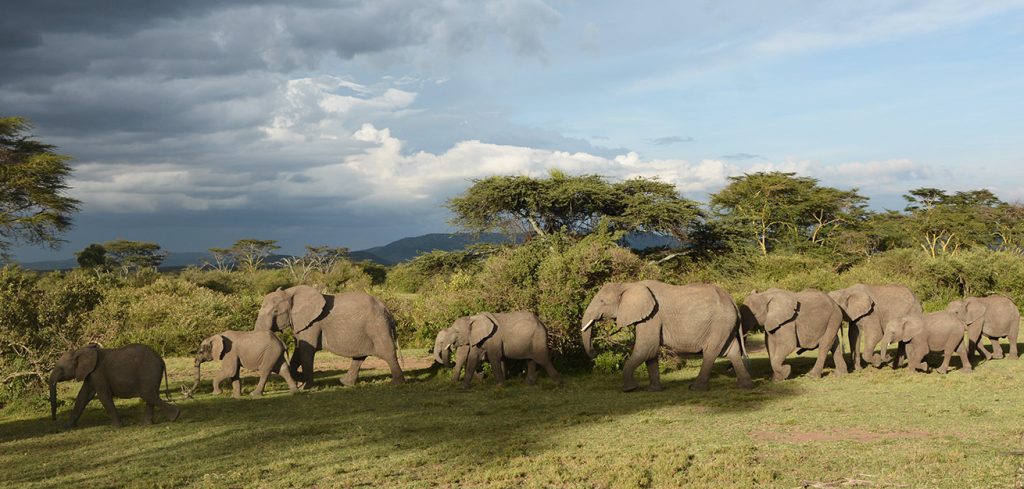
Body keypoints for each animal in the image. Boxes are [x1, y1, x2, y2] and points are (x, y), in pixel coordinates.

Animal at [49, 343, 179, 428]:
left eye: (61, 369)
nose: (54, 419)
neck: (80, 351)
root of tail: (161, 360)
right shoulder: (91, 374)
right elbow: (83, 396)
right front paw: (67, 427)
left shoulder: (98, 372)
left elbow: (103, 395)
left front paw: (117, 427)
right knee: (151, 395)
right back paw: (147, 424)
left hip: (149, 371)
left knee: (147, 394)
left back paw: (175, 417)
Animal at [255, 285, 404, 387]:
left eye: (276, 312)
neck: (290, 292)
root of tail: (388, 310)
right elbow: (298, 350)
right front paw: (300, 380)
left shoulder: (313, 323)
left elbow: (306, 351)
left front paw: (305, 386)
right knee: (360, 356)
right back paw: (345, 383)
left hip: (378, 327)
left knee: (387, 352)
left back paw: (395, 383)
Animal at [581, 280, 754, 392]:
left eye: (602, 301)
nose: (594, 352)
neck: (628, 284)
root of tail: (732, 301)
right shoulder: (648, 318)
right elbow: (650, 353)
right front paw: (654, 390)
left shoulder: (652, 317)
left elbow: (646, 349)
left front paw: (630, 389)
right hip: (726, 324)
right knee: (732, 350)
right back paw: (745, 386)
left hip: (719, 323)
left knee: (711, 352)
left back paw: (695, 388)